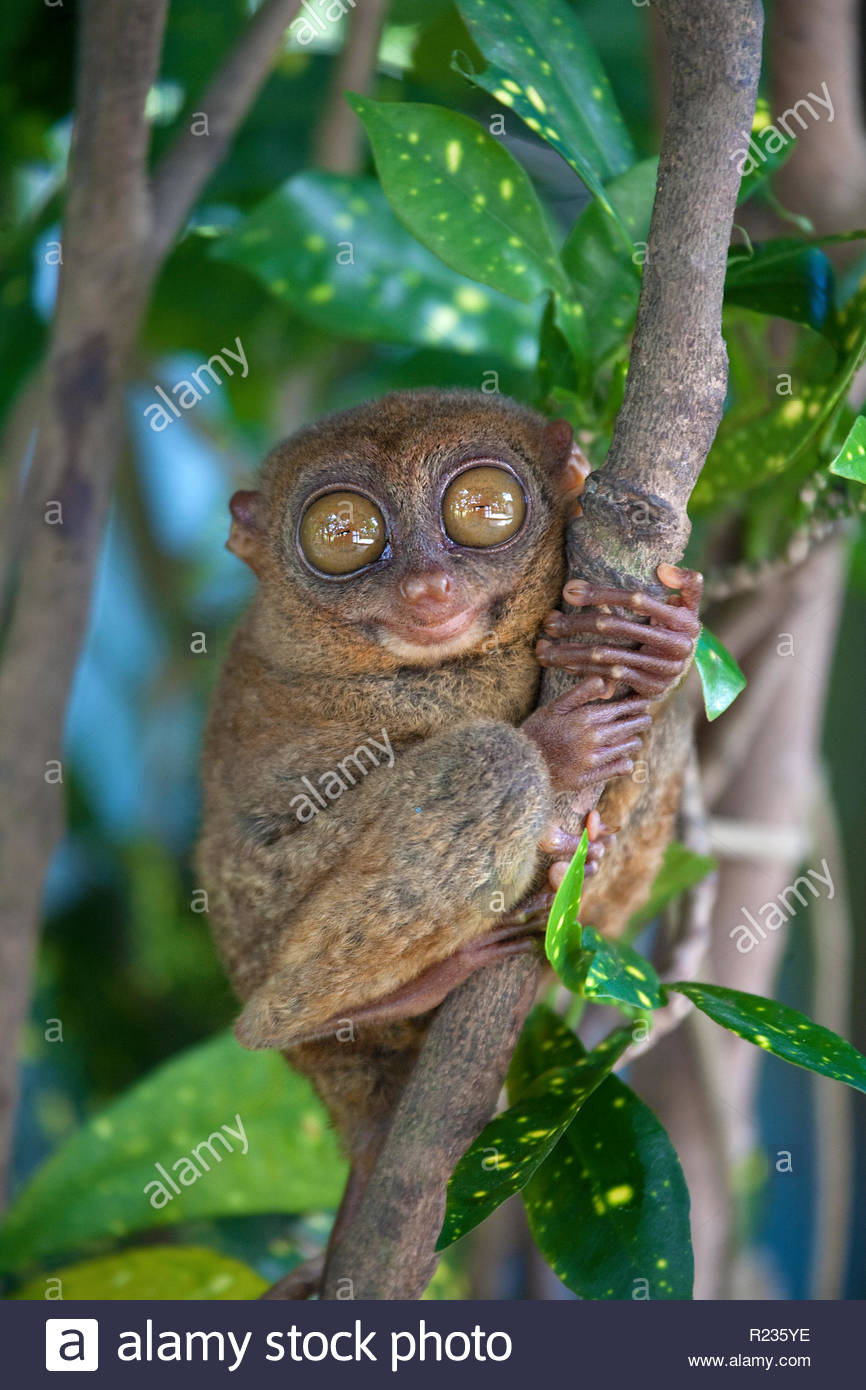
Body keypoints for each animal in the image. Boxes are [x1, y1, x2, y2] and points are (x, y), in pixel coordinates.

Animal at [196, 388, 701, 1288]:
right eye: (342, 533)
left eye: (485, 511)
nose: (429, 587)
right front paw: (563, 745)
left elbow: (660, 692)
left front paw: (663, 645)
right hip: (268, 933)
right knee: (489, 762)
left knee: (670, 723)